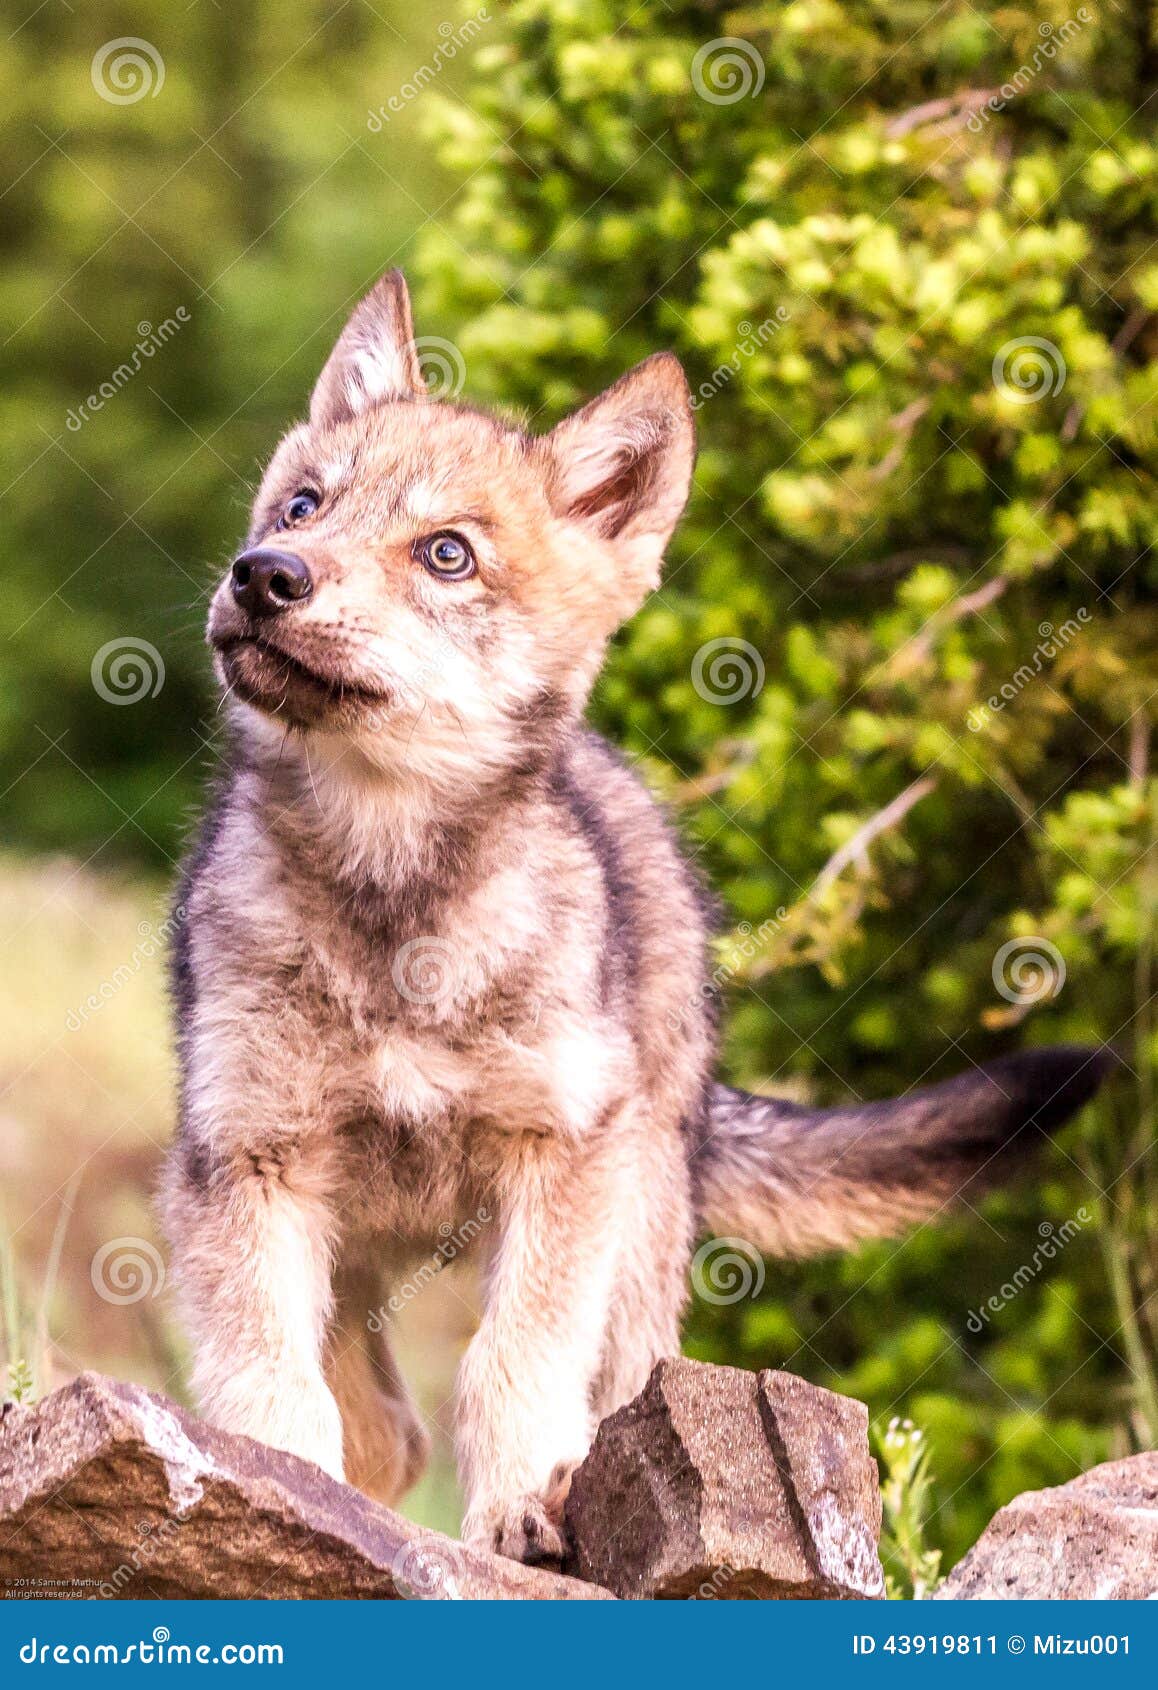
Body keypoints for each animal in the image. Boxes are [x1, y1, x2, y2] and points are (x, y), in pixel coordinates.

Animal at [163, 271, 1108, 1565]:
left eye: (448, 555)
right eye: (304, 505)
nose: (264, 573)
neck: (394, 900)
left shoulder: (559, 1162)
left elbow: (513, 1363)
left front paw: (520, 1504)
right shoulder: (247, 1164)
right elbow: (271, 1379)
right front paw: (271, 1495)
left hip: (639, 1223)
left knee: (579, 1393)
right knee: (380, 1425)